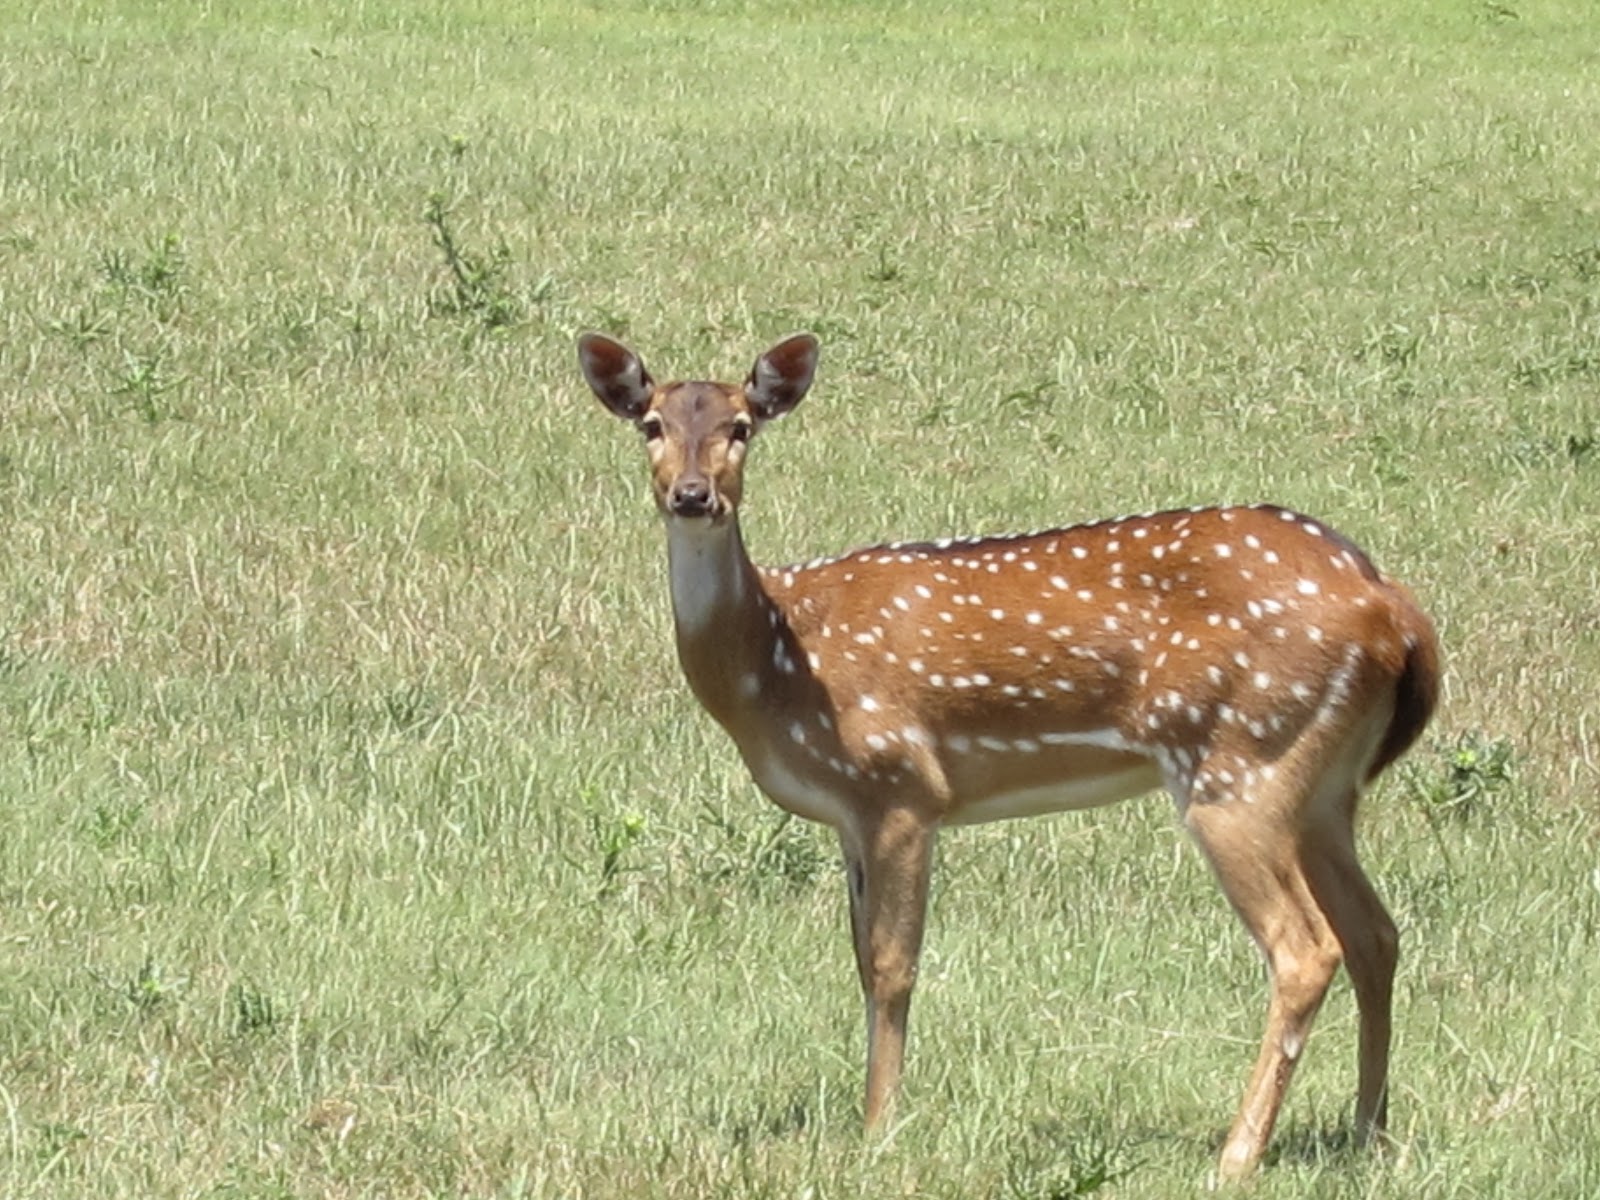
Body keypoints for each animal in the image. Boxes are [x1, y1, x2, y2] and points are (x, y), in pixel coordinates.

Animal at [576, 330, 1440, 1179]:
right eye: (650, 424)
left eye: (741, 426)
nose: (693, 495)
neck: (777, 659)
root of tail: (1393, 607)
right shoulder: (849, 815)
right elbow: (858, 960)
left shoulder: (901, 785)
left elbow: (892, 964)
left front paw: (879, 1130)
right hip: (1323, 785)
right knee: (1377, 933)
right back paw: (1369, 1134)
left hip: (1242, 763)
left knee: (1306, 948)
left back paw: (1236, 1156)